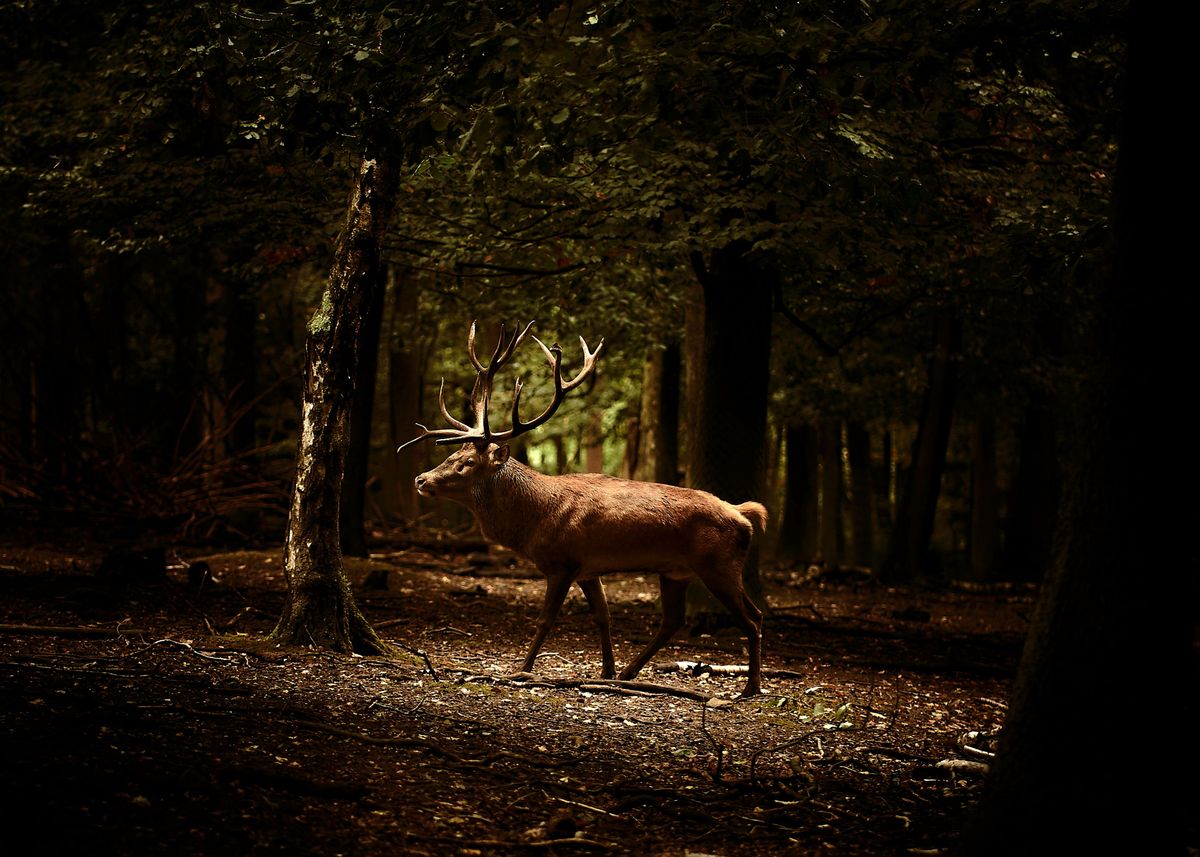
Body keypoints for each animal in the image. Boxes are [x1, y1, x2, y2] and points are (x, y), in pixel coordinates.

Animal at [398, 321, 766, 697]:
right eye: (451, 455)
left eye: (467, 462)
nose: (420, 479)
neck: (533, 522)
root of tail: (744, 515)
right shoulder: (588, 569)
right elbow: (603, 616)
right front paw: (606, 670)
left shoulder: (562, 562)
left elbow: (546, 619)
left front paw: (523, 669)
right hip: (676, 571)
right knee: (676, 619)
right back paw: (629, 672)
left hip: (718, 565)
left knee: (752, 618)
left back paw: (750, 687)